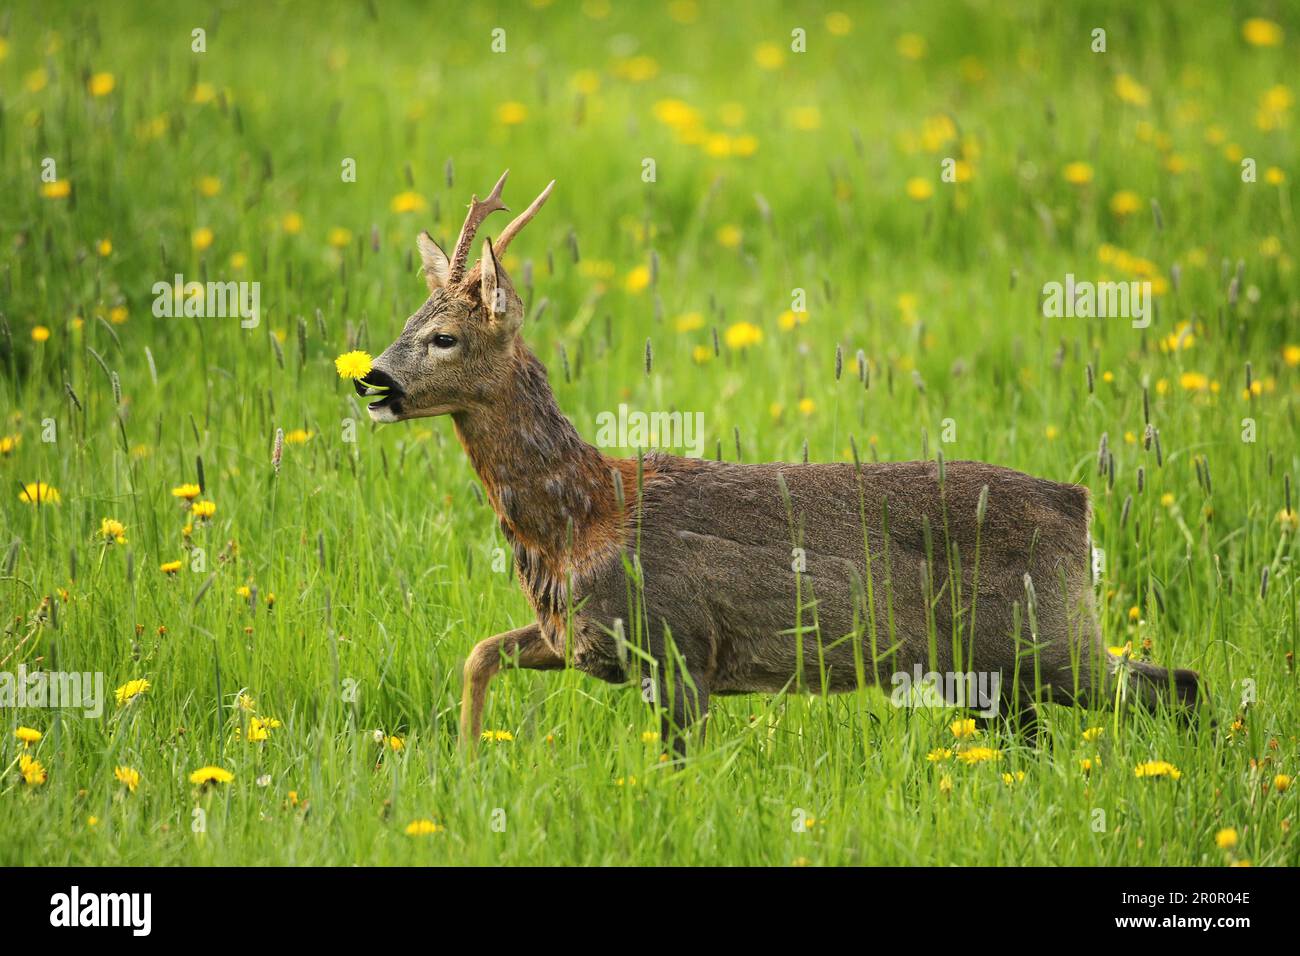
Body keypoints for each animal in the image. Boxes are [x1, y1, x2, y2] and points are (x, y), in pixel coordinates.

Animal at [358, 171, 1204, 757]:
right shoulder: (579, 639)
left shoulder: (681, 646)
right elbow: (477, 657)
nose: (371, 380)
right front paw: (465, 767)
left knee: (1177, 685)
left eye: (445, 338)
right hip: (992, 674)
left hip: (1050, 640)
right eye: (408, 320)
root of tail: (1078, 501)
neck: (583, 518)